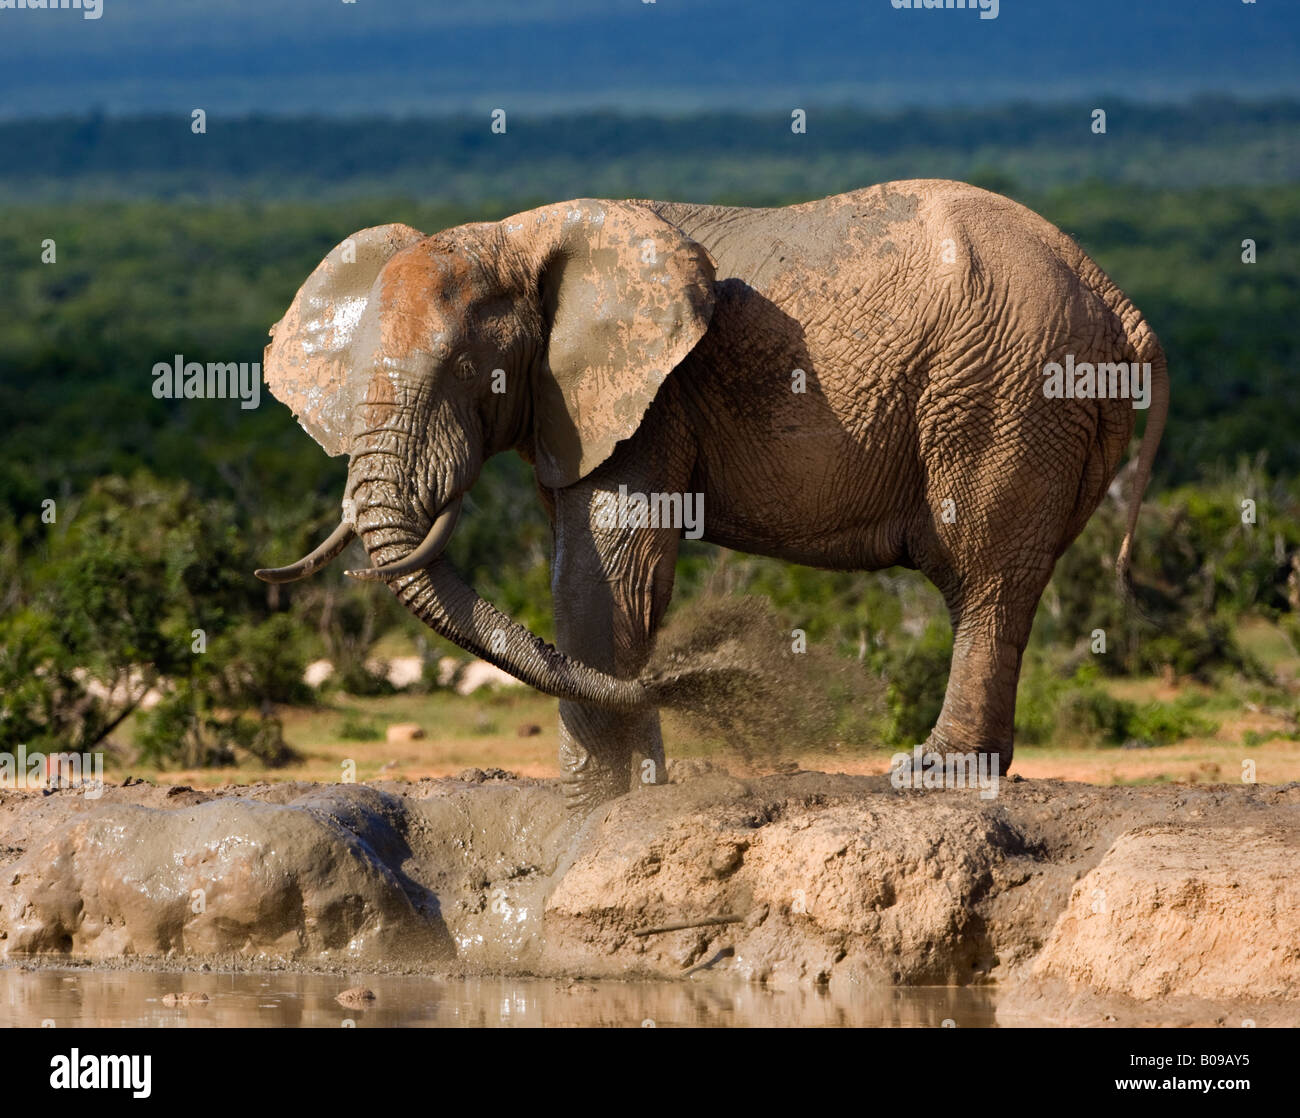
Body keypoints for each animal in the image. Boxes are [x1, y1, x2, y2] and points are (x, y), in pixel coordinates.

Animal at [255, 180, 1168, 809]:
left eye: (465, 371)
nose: (725, 672)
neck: (514, 234)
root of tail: (1117, 299)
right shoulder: (577, 407)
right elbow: (609, 570)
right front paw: (640, 785)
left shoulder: (655, 394)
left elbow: (605, 566)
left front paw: (592, 801)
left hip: (1008, 392)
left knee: (984, 578)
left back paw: (930, 773)